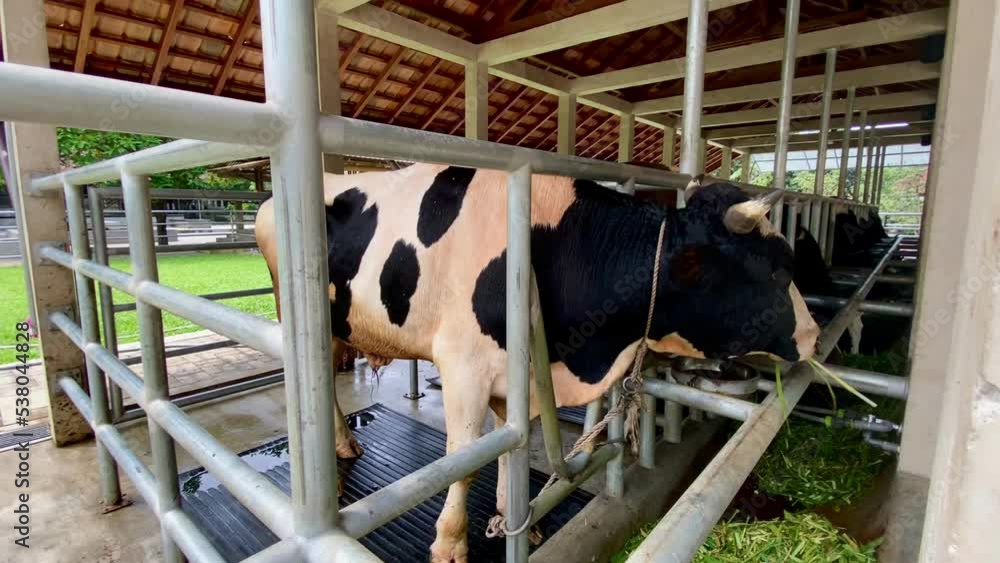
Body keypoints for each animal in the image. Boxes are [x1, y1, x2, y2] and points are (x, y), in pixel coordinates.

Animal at [255, 164, 820, 562]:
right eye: (777, 269)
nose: (813, 336)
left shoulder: (517, 375)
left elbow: (513, 445)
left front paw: (515, 517)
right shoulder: (462, 366)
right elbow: (464, 459)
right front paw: (450, 543)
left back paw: (344, 445)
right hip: (296, 313)